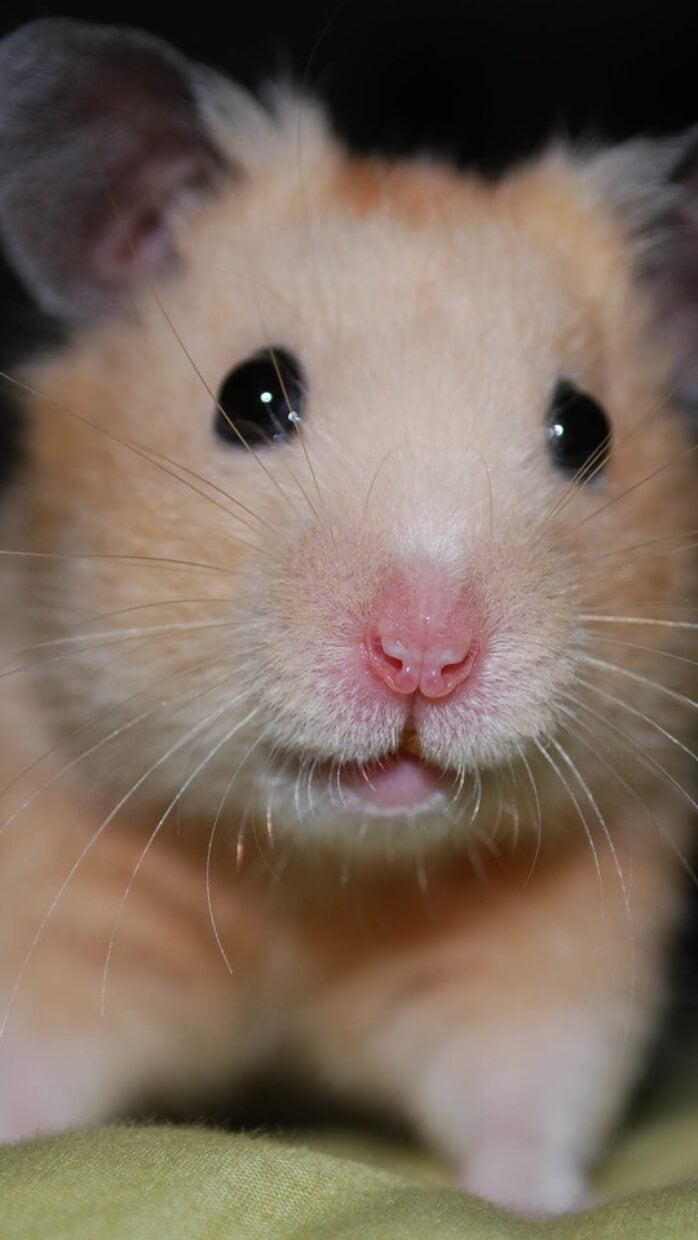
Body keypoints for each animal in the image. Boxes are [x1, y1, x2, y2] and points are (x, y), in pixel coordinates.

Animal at [0, 17, 695, 1216]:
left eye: (586, 429)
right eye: (251, 395)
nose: (424, 657)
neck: (309, 874)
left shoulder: (566, 934)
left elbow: (528, 1096)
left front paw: (533, 1203)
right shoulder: (52, 874)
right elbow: (33, 1064)